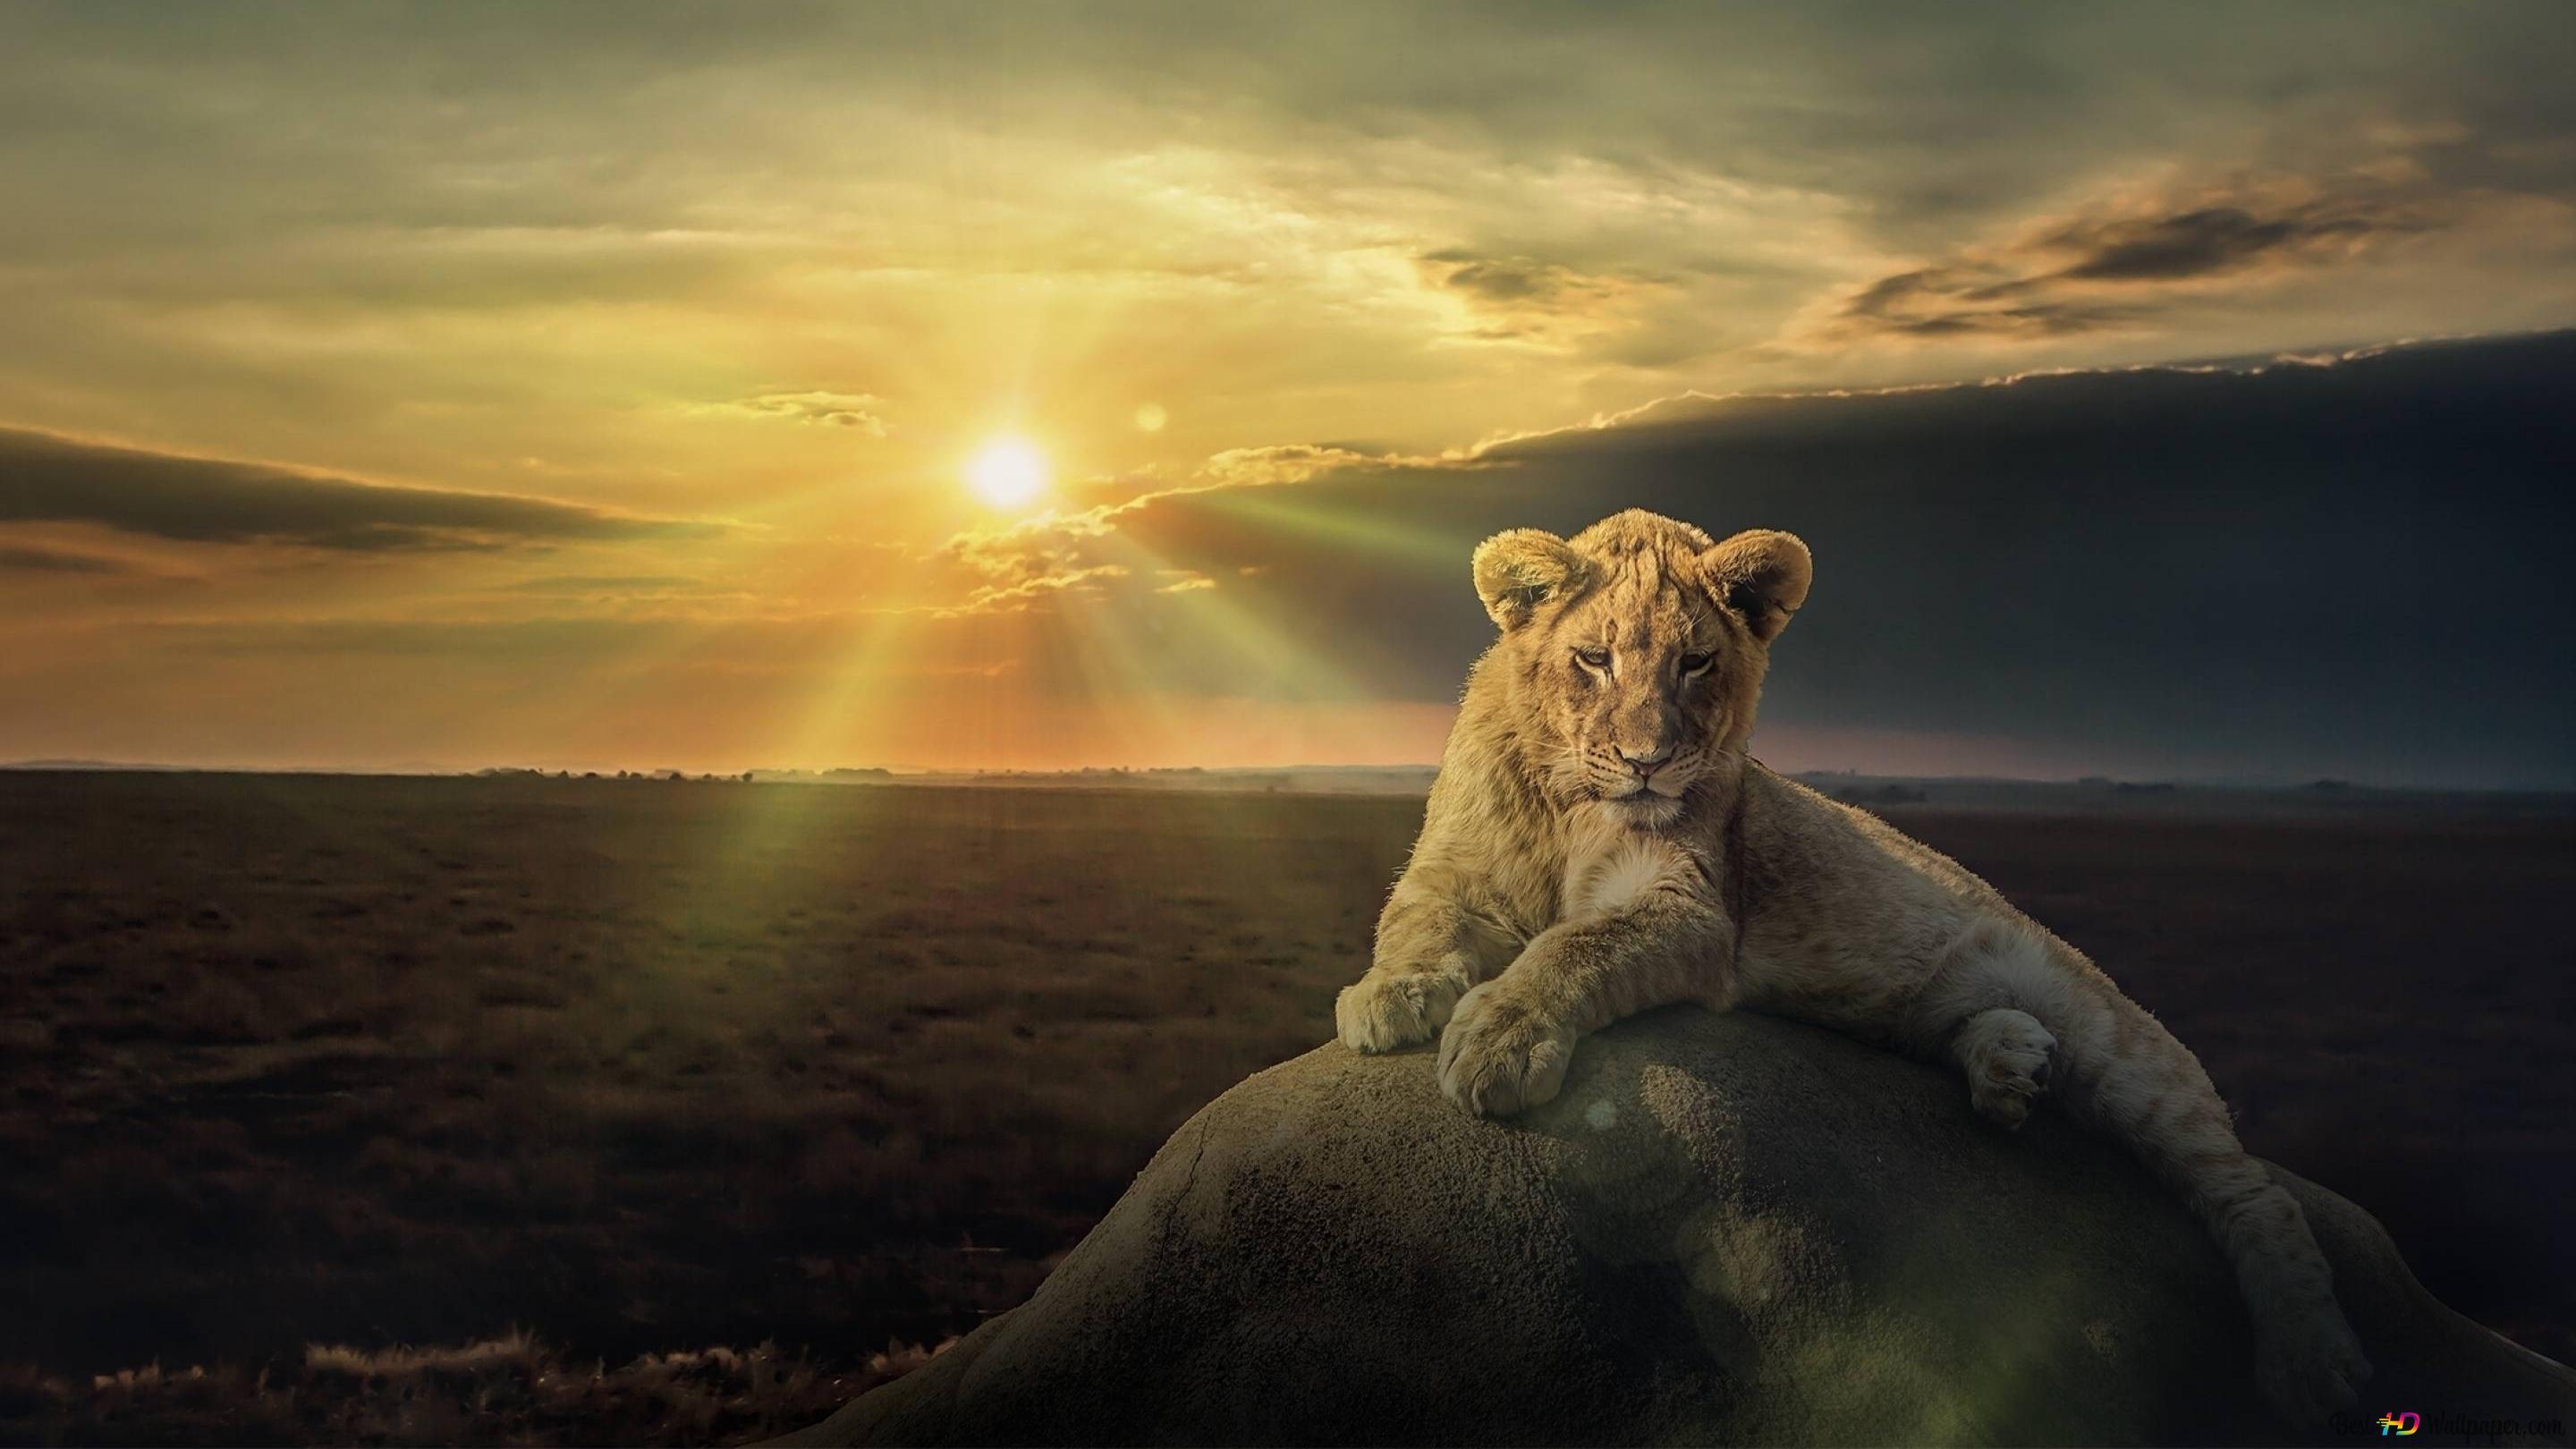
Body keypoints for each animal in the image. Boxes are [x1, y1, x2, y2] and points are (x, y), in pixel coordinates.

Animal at [1333, 508, 2371, 1425]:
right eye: (1593, 659)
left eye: (1695, 663)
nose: (1646, 761)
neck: (1564, 801)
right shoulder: (1449, 869)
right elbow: (1413, 924)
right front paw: (1388, 997)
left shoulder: (1694, 906)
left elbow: (1572, 944)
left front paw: (1498, 1037)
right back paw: (2010, 1068)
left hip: (2124, 1043)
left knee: (2255, 1195)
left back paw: (2314, 1364)